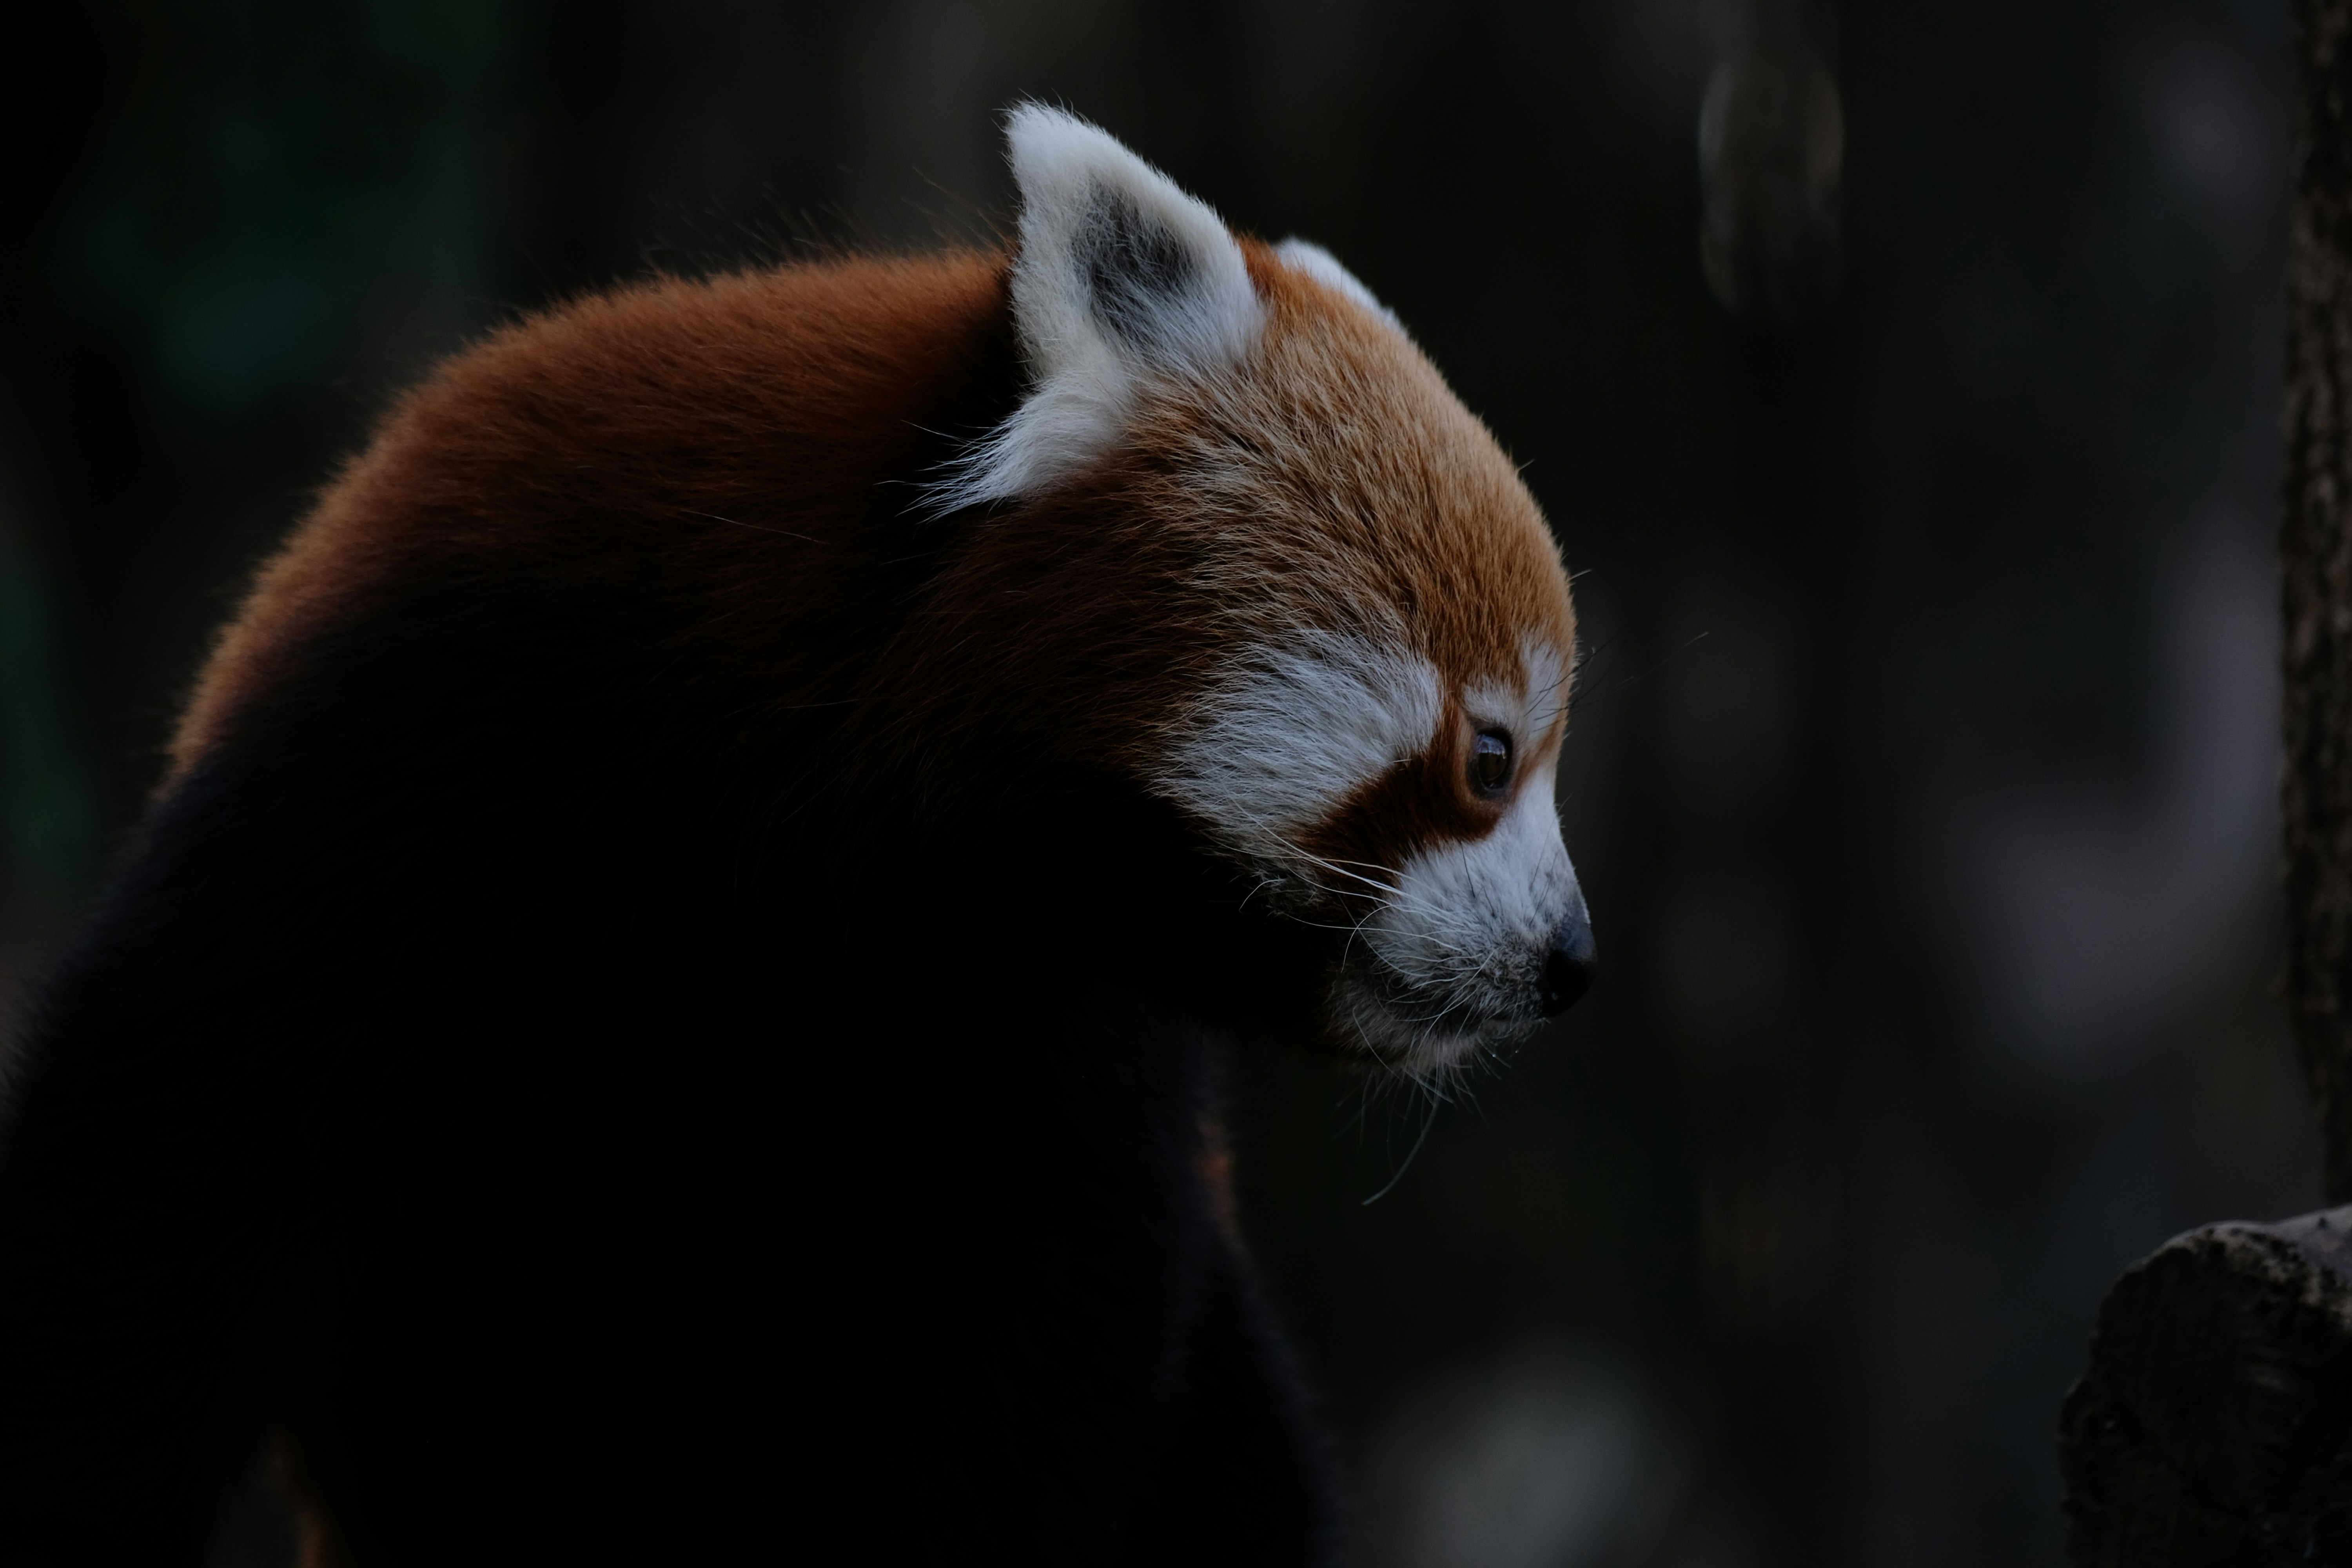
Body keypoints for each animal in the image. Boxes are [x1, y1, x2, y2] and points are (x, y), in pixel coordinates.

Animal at [0, 107, 1592, 1566]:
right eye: (1488, 755)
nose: (1571, 959)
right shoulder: (417, 732)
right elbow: (160, 1172)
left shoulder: (1066, 1055)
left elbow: (1033, 1378)